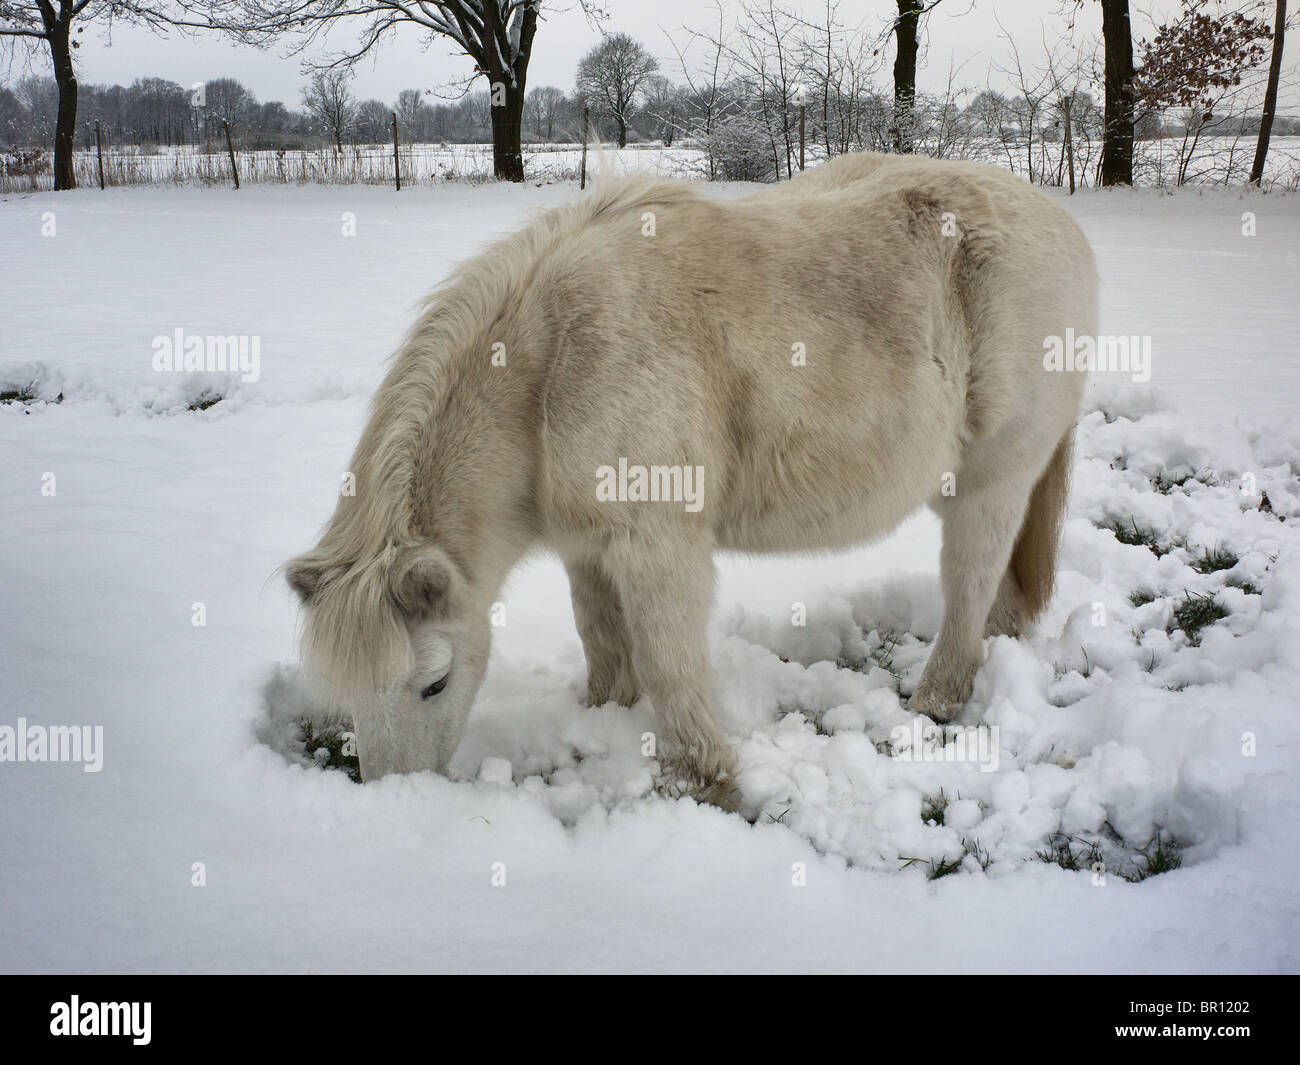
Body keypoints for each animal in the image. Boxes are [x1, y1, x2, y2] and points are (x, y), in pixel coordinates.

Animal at [285, 152, 1096, 807]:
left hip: (992, 479)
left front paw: (705, 782)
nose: (398, 800)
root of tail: (1064, 224)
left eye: (433, 682)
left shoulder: (658, 545)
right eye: (344, 692)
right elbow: (604, 641)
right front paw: (605, 716)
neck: (554, 363)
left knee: (971, 580)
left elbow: (669, 663)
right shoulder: (587, 547)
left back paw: (936, 700)